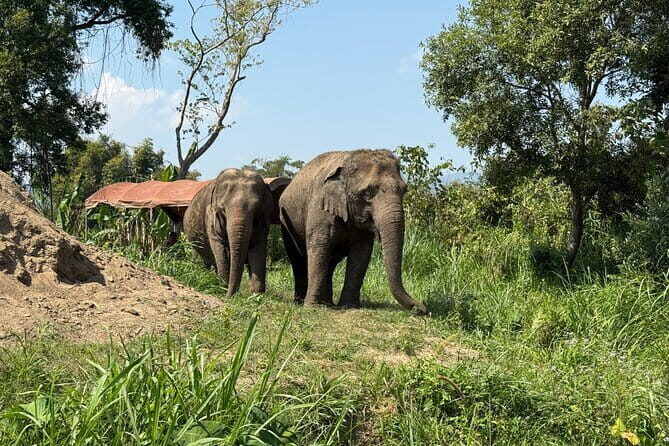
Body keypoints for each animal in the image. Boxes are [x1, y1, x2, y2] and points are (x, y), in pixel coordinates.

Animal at [279, 149, 427, 313]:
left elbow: (361, 253)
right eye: (367, 193)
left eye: (404, 190)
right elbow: (319, 247)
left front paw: (349, 306)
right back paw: (301, 302)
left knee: (331, 263)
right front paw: (312, 308)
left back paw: (328, 303)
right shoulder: (319, 207)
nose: (422, 308)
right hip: (286, 221)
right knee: (297, 258)